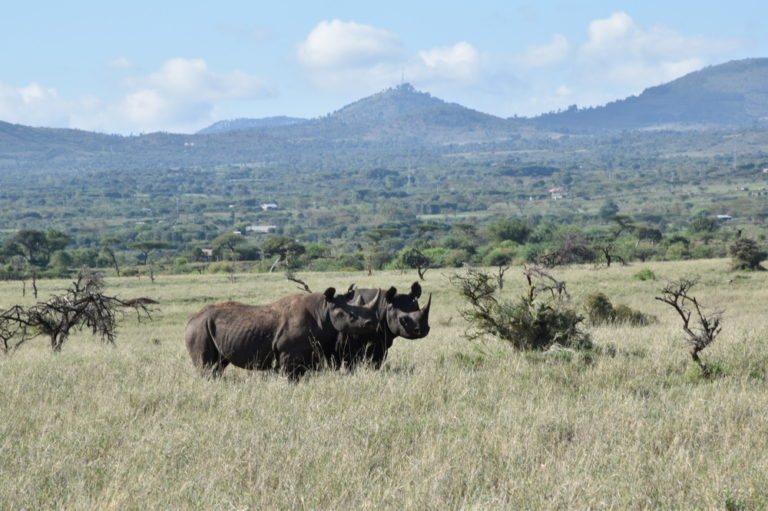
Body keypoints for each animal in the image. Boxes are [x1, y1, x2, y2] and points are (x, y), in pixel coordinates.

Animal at [185, 287, 380, 379]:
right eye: (348, 315)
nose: (372, 323)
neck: (323, 309)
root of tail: (190, 320)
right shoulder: (289, 353)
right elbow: (291, 377)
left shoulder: (312, 350)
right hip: (199, 328)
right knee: (206, 366)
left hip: (208, 327)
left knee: (218, 365)